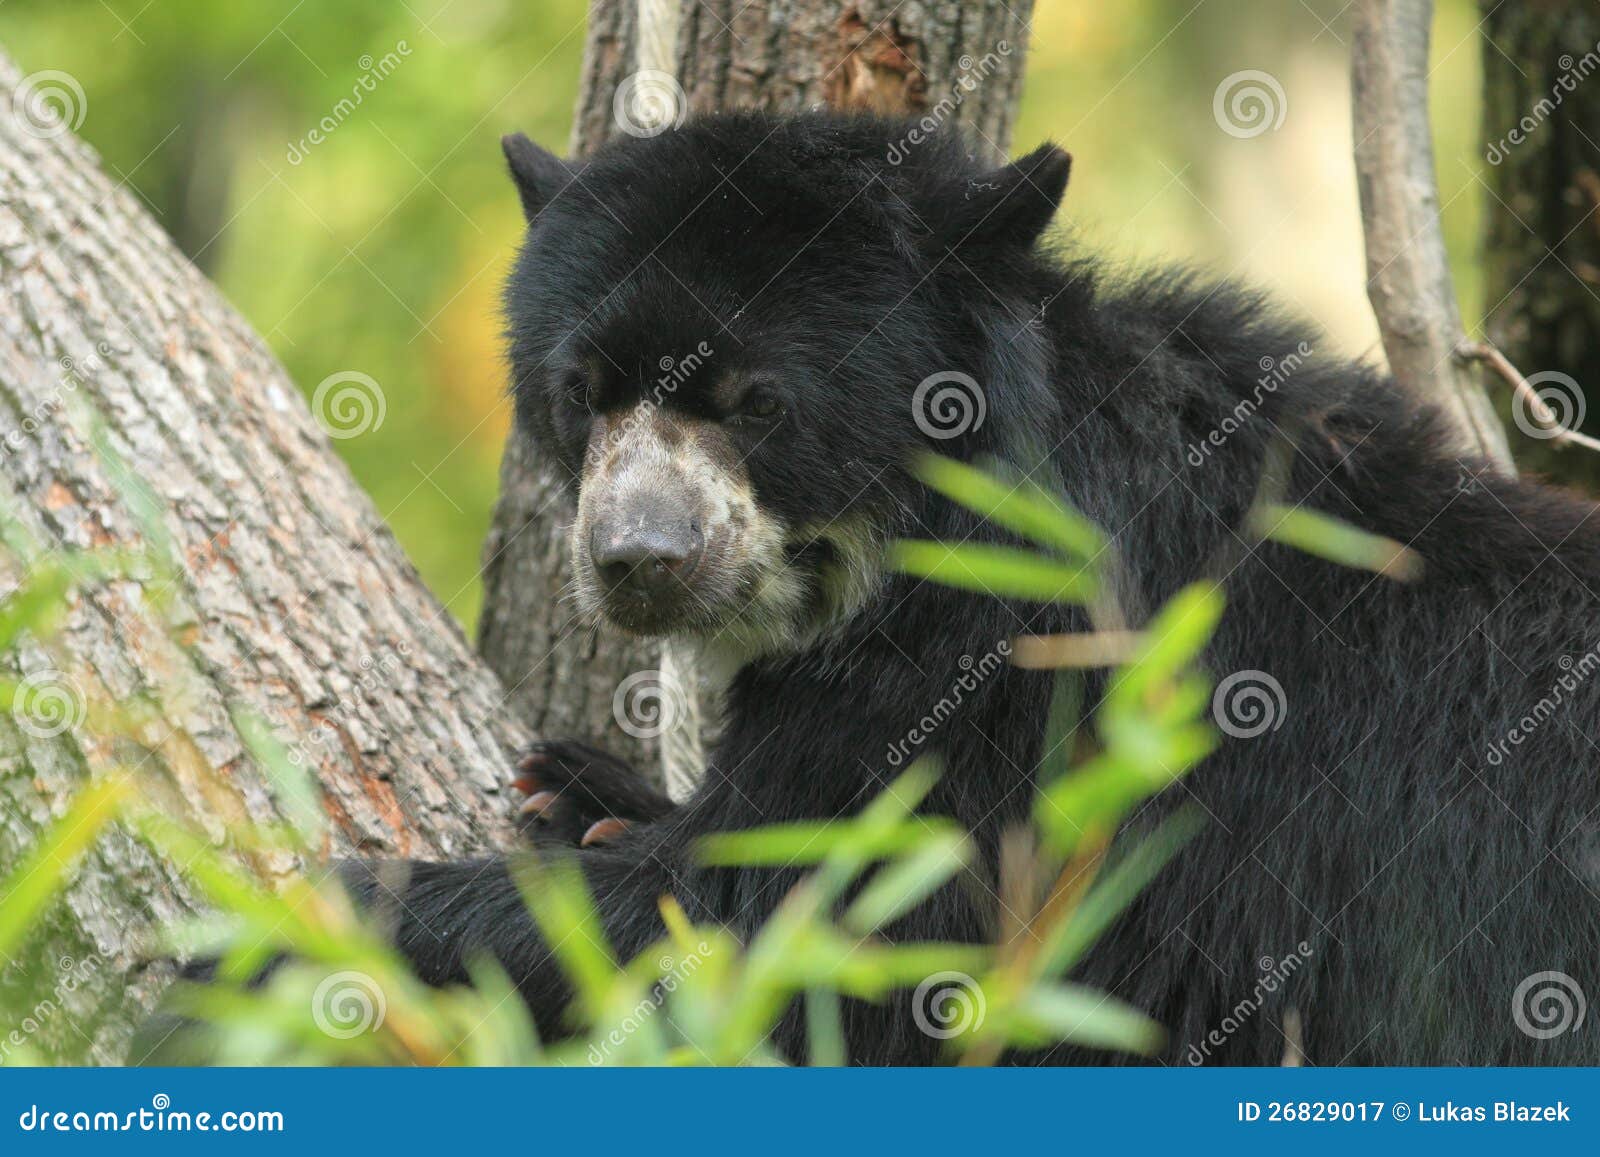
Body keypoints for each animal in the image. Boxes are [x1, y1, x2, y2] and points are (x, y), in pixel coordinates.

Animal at [334, 112, 1600, 1065]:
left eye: (759, 401)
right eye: (581, 392)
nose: (638, 560)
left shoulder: (1019, 683)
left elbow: (800, 927)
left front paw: (336, 911)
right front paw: (575, 783)